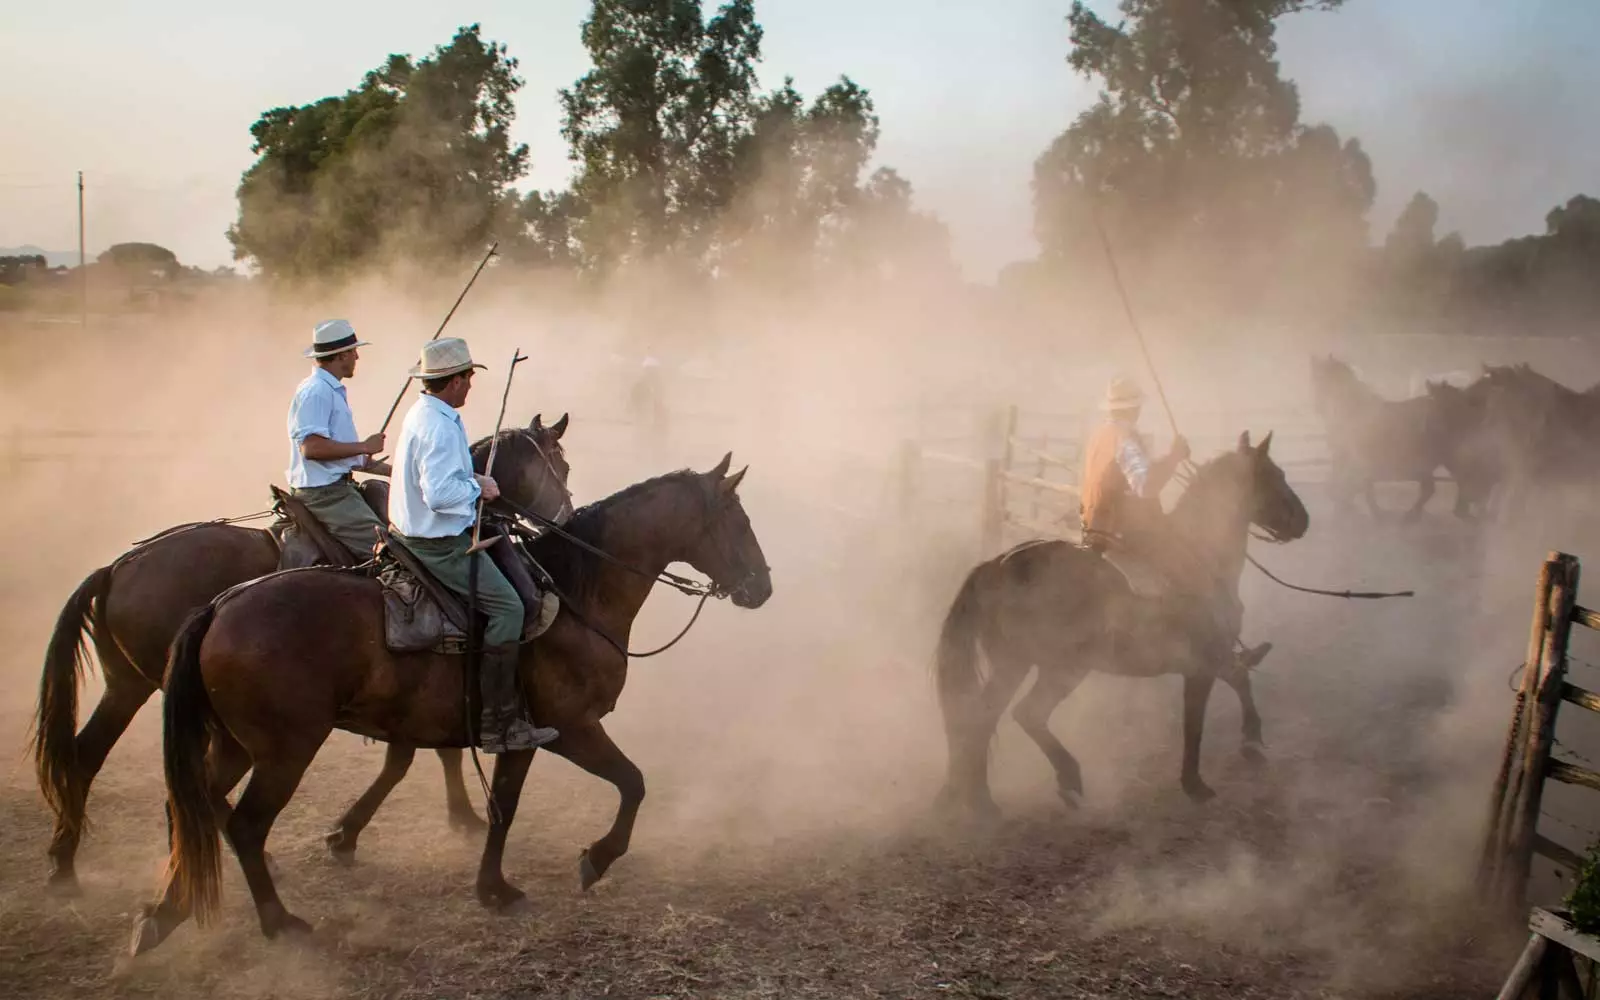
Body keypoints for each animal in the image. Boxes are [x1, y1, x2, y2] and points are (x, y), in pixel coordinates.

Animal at [32, 412, 576, 889]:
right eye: (563, 465)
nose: (564, 518)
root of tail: (117, 567)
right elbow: (425, 750)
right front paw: (458, 815)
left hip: (128, 684)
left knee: (88, 756)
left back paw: (67, 858)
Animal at [131, 454, 768, 953]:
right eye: (738, 521)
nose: (762, 586)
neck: (574, 595)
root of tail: (219, 607)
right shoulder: (567, 730)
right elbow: (626, 784)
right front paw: (586, 862)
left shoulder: (508, 735)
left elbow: (495, 800)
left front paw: (487, 883)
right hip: (285, 752)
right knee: (244, 826)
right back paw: (277, 921)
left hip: (235, 745)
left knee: (190, 803)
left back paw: (166, 910)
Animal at [934, 428, 1305, 812]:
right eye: (1274, 475)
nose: (1302, 521)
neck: (1201, 556)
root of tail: (997, 565)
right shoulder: (1202, 664)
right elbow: (1196, 722)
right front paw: (1196, 783)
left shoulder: (1216, 657)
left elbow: (1239, 677)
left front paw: (1252, 741)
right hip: (1039, 666)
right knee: (999, 716)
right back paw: (999, 795)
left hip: (1042, 667)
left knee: (1004, 715)